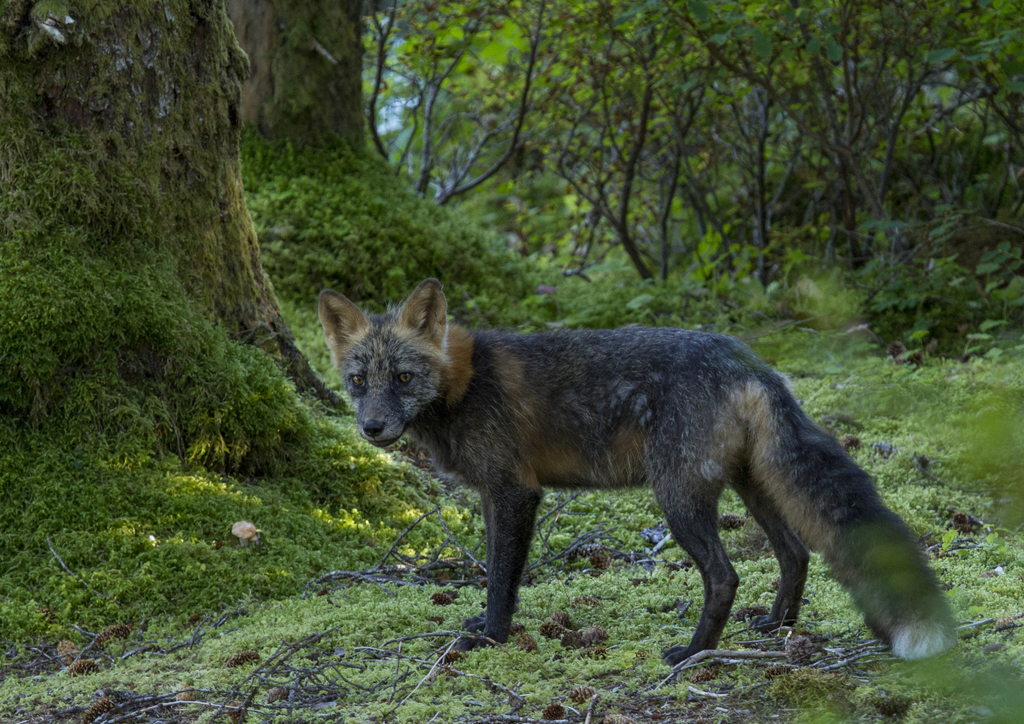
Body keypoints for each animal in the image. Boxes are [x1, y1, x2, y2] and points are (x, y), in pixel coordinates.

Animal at [318, 278, 955, 665]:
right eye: (358, 381)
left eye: (403, 378)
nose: (372, 428)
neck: (461, 386)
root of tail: (749, 360)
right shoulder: (494, 495)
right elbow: (494, 570)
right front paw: (485, 625)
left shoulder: (516, 491)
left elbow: (502, 577)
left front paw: (492, 636)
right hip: (749, 484)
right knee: (795, 552)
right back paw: (777, 626)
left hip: (676, 497)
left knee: (725, 575)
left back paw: (694, 653)